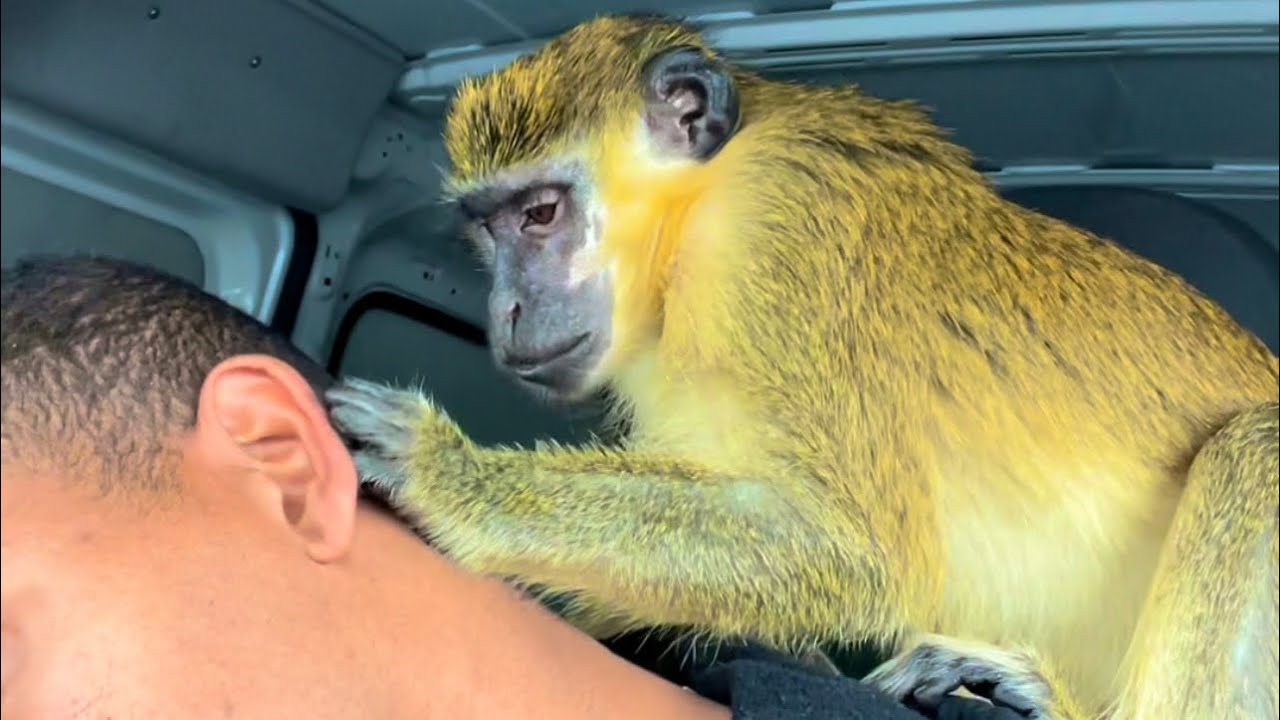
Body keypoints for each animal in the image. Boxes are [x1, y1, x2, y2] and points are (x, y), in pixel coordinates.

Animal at [325, 15, 1280, 720]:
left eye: (542, 215)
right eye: (488, 230)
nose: (506, 311)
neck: (697, 211)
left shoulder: (777, 230)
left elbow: (860, 552)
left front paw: (450, 475)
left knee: (1252, 448)